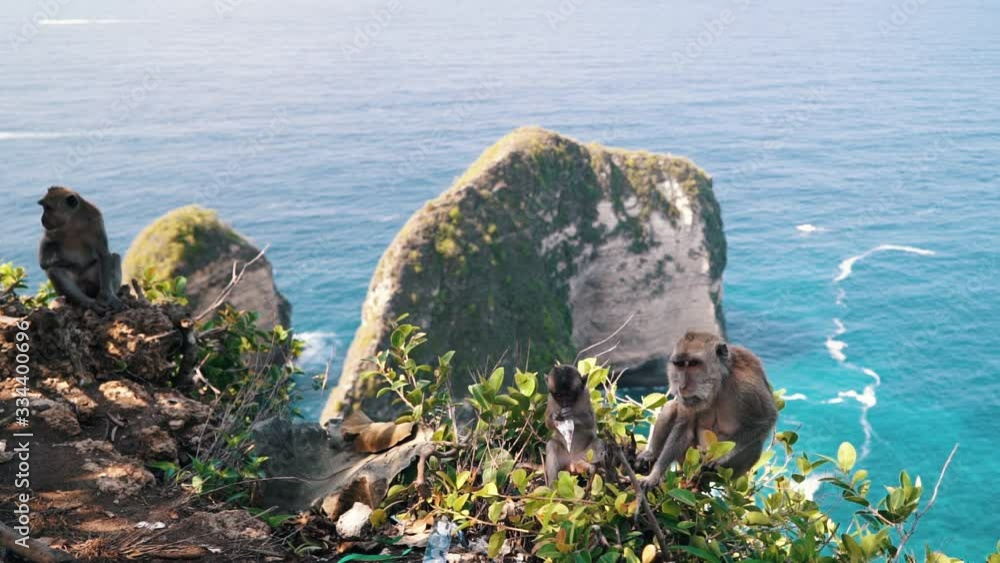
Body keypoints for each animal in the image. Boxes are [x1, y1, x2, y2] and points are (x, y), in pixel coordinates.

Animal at [636, 332, 777, 489]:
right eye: (680, 365)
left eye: (693, 364)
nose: (682, 386)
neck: (720, 384)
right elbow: (685, 427)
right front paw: (655, 475)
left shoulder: (747, 385)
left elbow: (766, 419)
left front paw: (721, 457)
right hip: (689, 459)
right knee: (670, 407)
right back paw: (651, 455)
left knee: (755, 444)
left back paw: (704, 477)